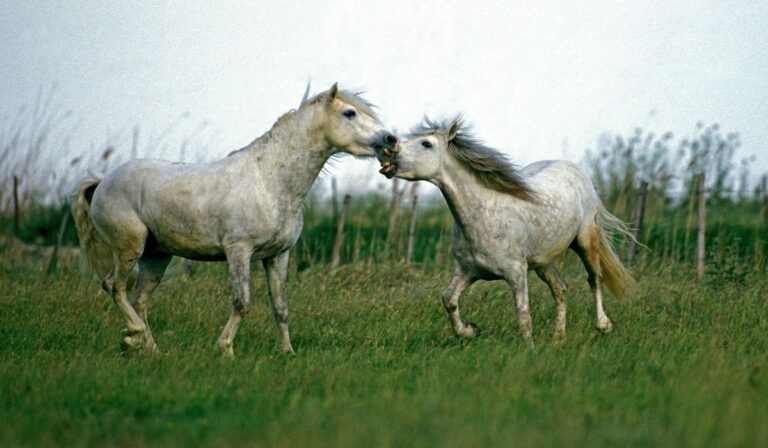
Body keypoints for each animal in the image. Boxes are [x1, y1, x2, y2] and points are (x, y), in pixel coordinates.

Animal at [71, 84, 397, 356]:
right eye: (349, 113)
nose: (391, 139)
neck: (270, 181)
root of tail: (102, 182)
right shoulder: (239, 250)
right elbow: (242, 303)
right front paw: (225, 349)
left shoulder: (278, 255)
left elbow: (280, 307)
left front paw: (287, 353)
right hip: (130, 247)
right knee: (114, 286)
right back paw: (135, 336)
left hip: (157, 255)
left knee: (139, 299)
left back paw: (148, 348)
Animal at [376, 117, 634, 347]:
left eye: (426, 144)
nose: (386, 149)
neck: (483, 217)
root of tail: (575, 169)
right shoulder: (467, 270)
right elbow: (448, 299)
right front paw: (470, 330)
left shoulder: (516, 273)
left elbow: (523, 317)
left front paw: (529, 353)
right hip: (543, 261)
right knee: (560, 289)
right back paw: (558, 340)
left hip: (585, 240)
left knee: (595, 278)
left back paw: (603, 325)